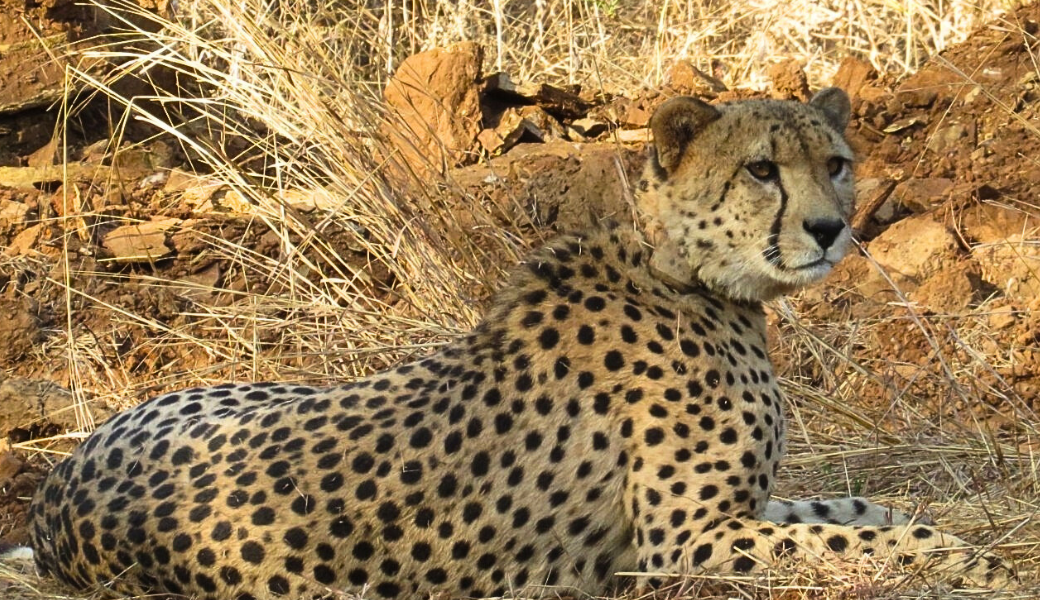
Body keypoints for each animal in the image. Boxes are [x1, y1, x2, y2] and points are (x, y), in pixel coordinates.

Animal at [25, 88, 1014, 600]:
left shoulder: (736, 511)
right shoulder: (682, 543)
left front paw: (938, 536)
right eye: (761, 170)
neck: (684, 270)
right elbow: (848, 542)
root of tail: (51, 501)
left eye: (835, 163)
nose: (828, 229)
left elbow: (853, 511)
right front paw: (961, 559)